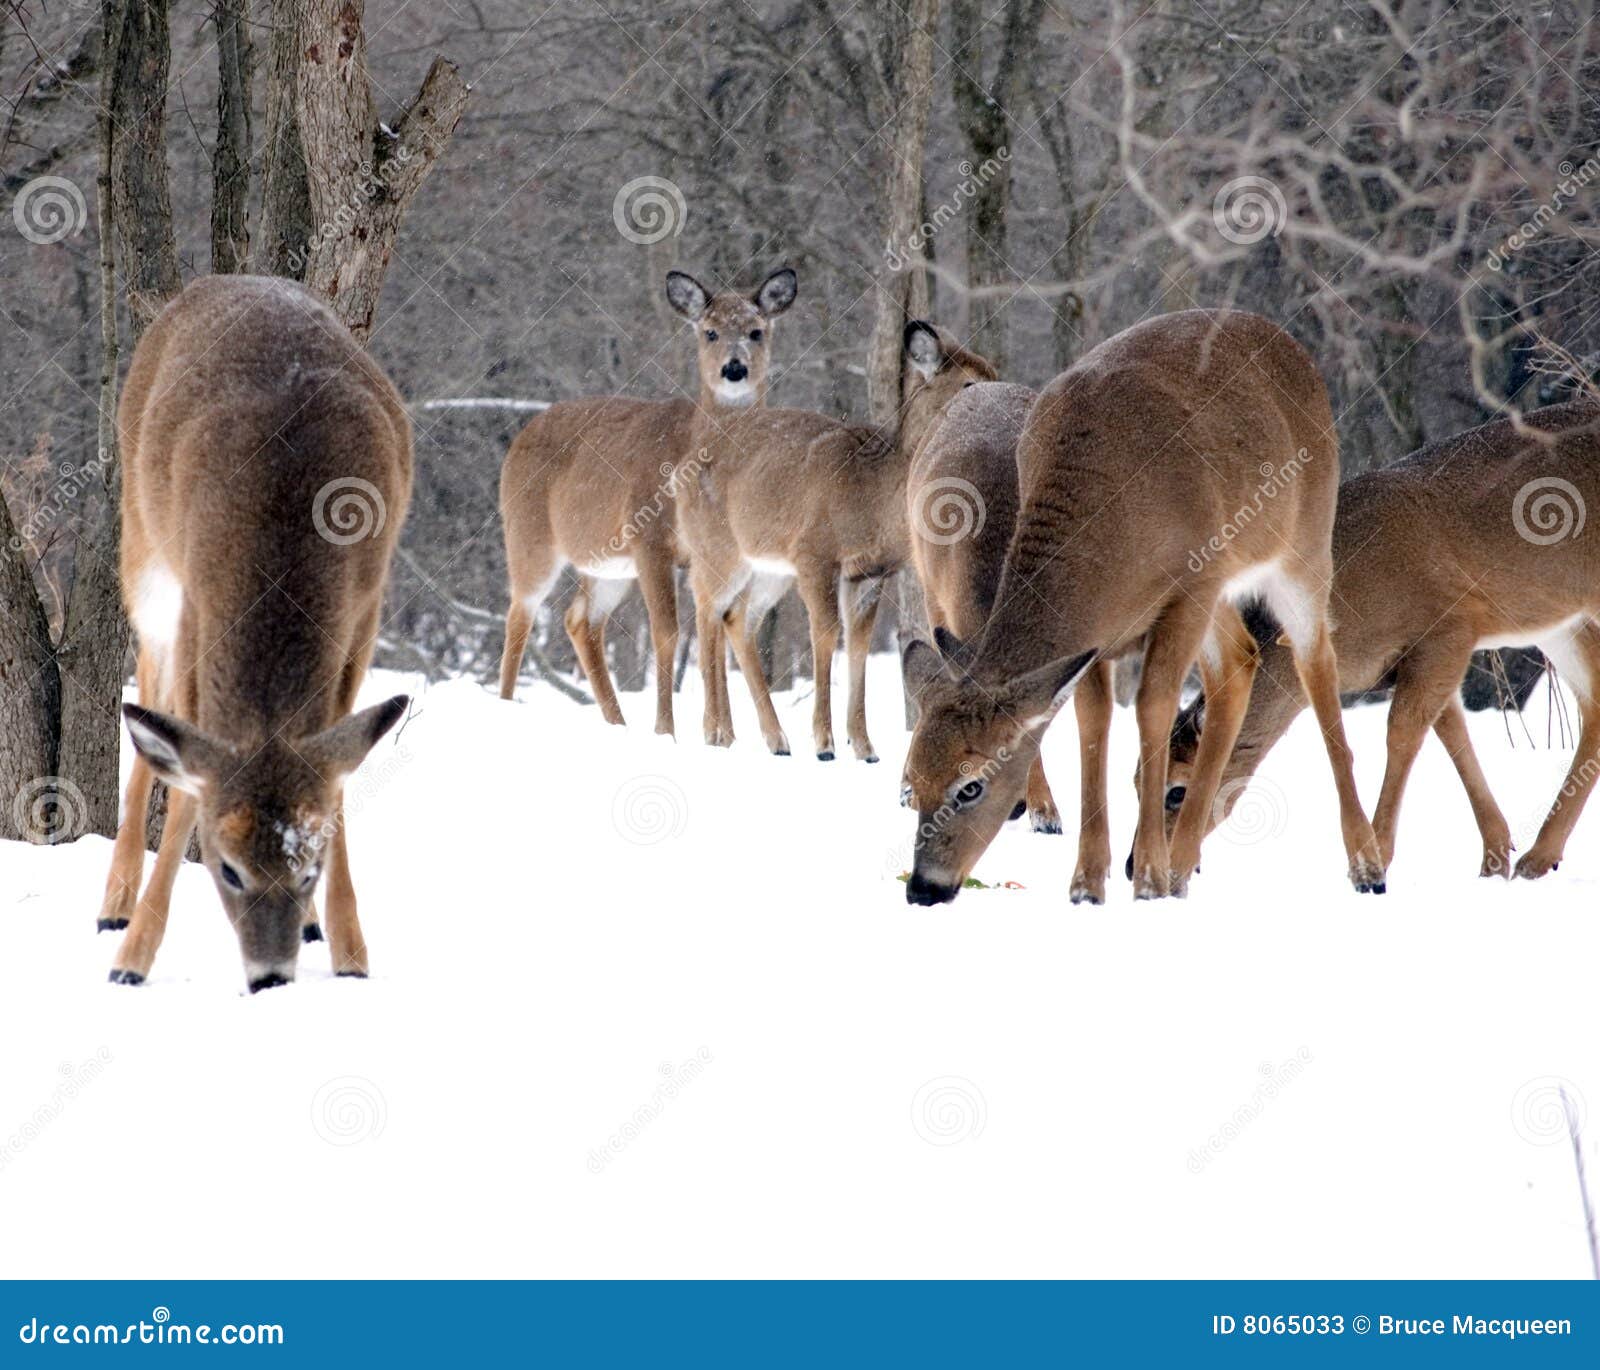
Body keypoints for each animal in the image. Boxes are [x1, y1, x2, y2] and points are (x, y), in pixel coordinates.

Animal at [96, 274, 411, 992]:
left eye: (308, 867)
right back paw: (114, 904)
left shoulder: (366, 611)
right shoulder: (197, 602)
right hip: (144, 550)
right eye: (228, 868)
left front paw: (352, 950)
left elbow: (337, 775)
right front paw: (133, 959)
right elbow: (188, 795)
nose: (271, 978)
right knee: (146, 692)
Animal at [497, 267, 797, 737]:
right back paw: (506, 707)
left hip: (608, 564)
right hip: (529, 534)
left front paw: (722, 734)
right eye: (710, 331)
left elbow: (715, 632)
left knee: (579, 619)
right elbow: (668, 633)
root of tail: (519, 438)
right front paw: (667, 732)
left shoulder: (712, 554)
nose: (734, 368)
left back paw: (617, 723)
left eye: (756, 330)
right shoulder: (650, 539)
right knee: (519, 615)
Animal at [676, 321, 996, 761]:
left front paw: (864, 746)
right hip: (718, 548)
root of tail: (678, 470)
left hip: (769, 569)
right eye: (968, 383)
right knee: (706, 613)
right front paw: (825, 742)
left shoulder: (868, 573)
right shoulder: (815, 554)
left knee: (737, 620)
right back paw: (716, 731)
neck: (875, 496)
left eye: (994, 372)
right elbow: (826, 636)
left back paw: (773, 739)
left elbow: (859, 647)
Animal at [900, 308, 1386, 905]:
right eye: (914, 778)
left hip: (1302, 545)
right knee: (1239, 663)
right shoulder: (1095, 633)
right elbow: (1094, 721)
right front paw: (1088, 882)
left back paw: (1366, 865)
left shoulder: (1189, 585)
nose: (923, 887)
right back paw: (1184, 863)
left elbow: (1153, 707)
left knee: (1316, 665)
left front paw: (1148, 876)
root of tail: (1285, 341)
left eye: (970, 785)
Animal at [1158, 399, 1600, 882]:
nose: (1131, 866)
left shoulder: (1449, 625)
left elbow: (1402, 732)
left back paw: (1539, 856)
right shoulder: (1413, 656)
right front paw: (1494, 855)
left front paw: (1375, 858)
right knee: (1594, 701)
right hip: (1559, 621)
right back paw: (1539, 857)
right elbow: (1453, 734)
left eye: (1175, 791)